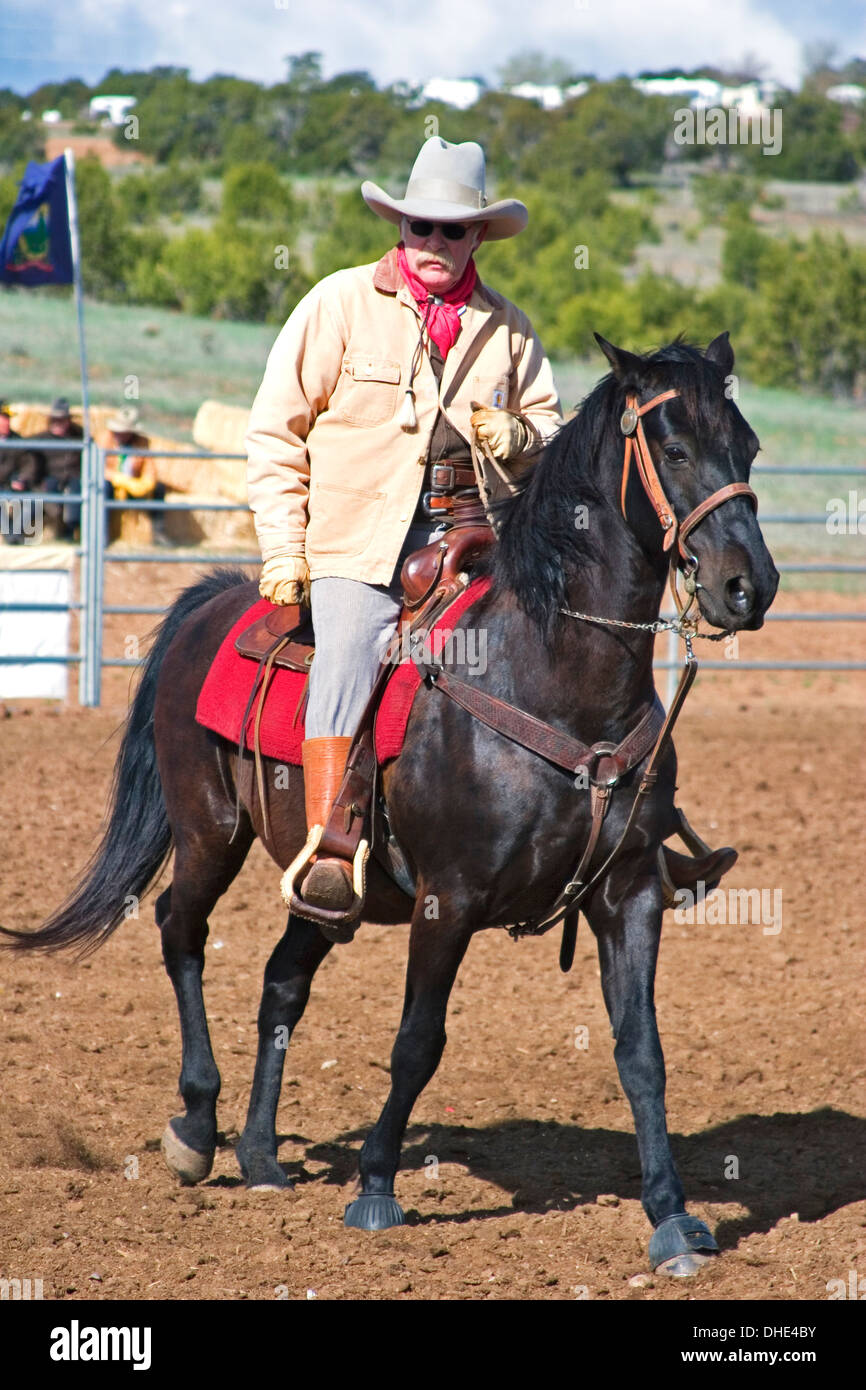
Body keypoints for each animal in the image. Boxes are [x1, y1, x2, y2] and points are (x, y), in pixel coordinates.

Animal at [1, 333, 778, 1276]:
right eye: (672, 447)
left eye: (747, 448)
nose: (749, 586)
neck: (549, 677)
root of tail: (212, 600)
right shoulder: (449, 900)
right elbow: (417, 1044)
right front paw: (375, 1185)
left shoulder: (628, 897)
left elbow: (642, 1051)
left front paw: (671, 1216)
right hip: (209, 831)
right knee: (179, 931)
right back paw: (196, 1125)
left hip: (329, 885)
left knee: (282, 981)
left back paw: (260, 1156)